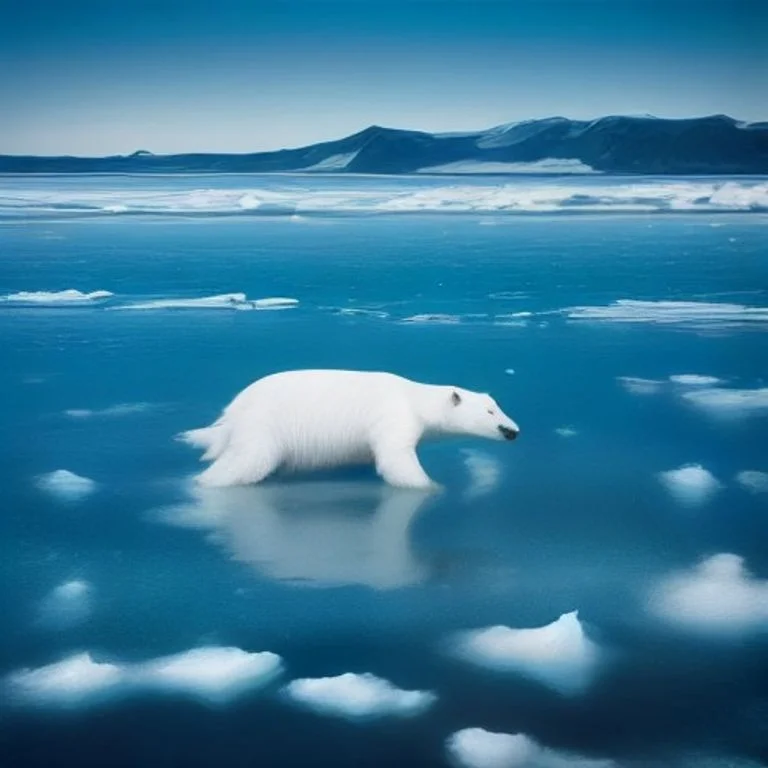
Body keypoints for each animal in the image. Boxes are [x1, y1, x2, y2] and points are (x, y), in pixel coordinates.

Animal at [178, 369, 520, 490]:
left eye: (497, 405)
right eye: (490, 412)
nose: (513, 430)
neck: (414, 398)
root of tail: (231, 414)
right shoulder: (393, 417)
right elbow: (396, 461)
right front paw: (432, 486)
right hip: (264, 428)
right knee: (245, 463)